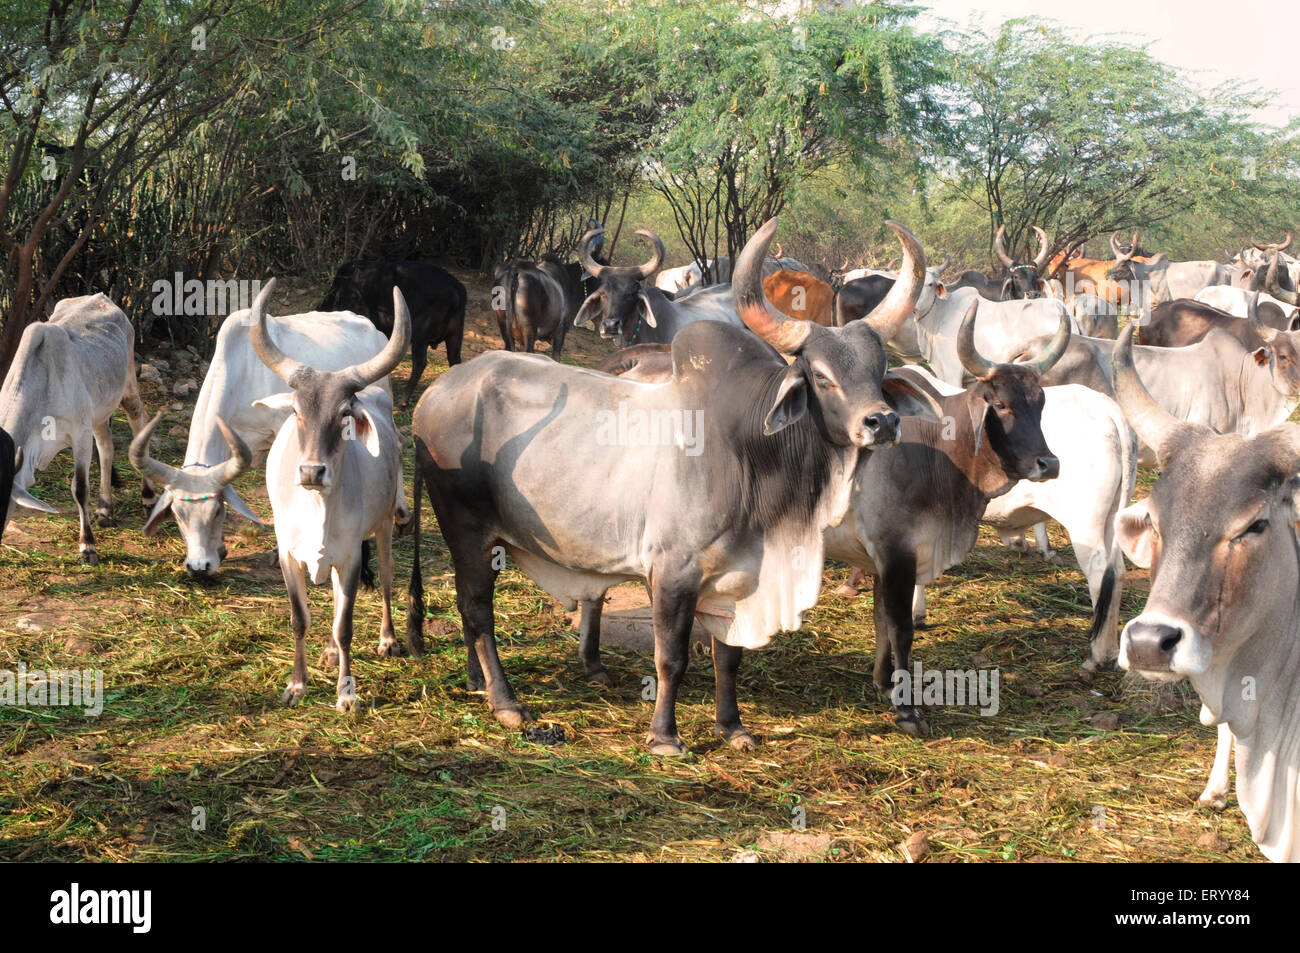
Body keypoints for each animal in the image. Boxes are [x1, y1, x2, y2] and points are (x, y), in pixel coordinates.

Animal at [0, 294, 153, 564]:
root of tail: (102, 297)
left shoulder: (80, 434)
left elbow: (80, 489)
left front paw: (88, 546)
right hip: (99, 413)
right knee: (106, 447)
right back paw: (104, 508)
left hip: (128, 391)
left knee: (139, 425)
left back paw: (147, 496)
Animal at [129, 305, 406, 576]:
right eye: (177, 514)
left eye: (216, 512)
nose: (199, 567)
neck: (240, 374)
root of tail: (373, 329)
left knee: (398, 444)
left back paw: (401, 514)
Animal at [250, 280, 410, 711]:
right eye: (295, 411)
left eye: (343, 414)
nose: (310, 472)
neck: (317, 509)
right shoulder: (289, 556)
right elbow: (300, 619)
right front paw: (296, 685)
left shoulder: (352, 556)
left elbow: (346, 625)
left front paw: (346, 694)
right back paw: (329, 653)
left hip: (383, 528)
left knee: (385, 580)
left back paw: (388, 639)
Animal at [317, 260, 466, 408]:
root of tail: (455, 288)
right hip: (455, 335)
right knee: (454, 361)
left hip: (420, 336)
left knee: (420, 363)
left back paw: (403, 401)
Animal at [822, 307, 1067, 732]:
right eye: (1000, 404)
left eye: (1040, 402)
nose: (1048, 464)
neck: (936, 450)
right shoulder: (897, 555)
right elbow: (901, 628)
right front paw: (907, 711)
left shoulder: (882, 560)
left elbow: (881, 620)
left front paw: (884, 683)